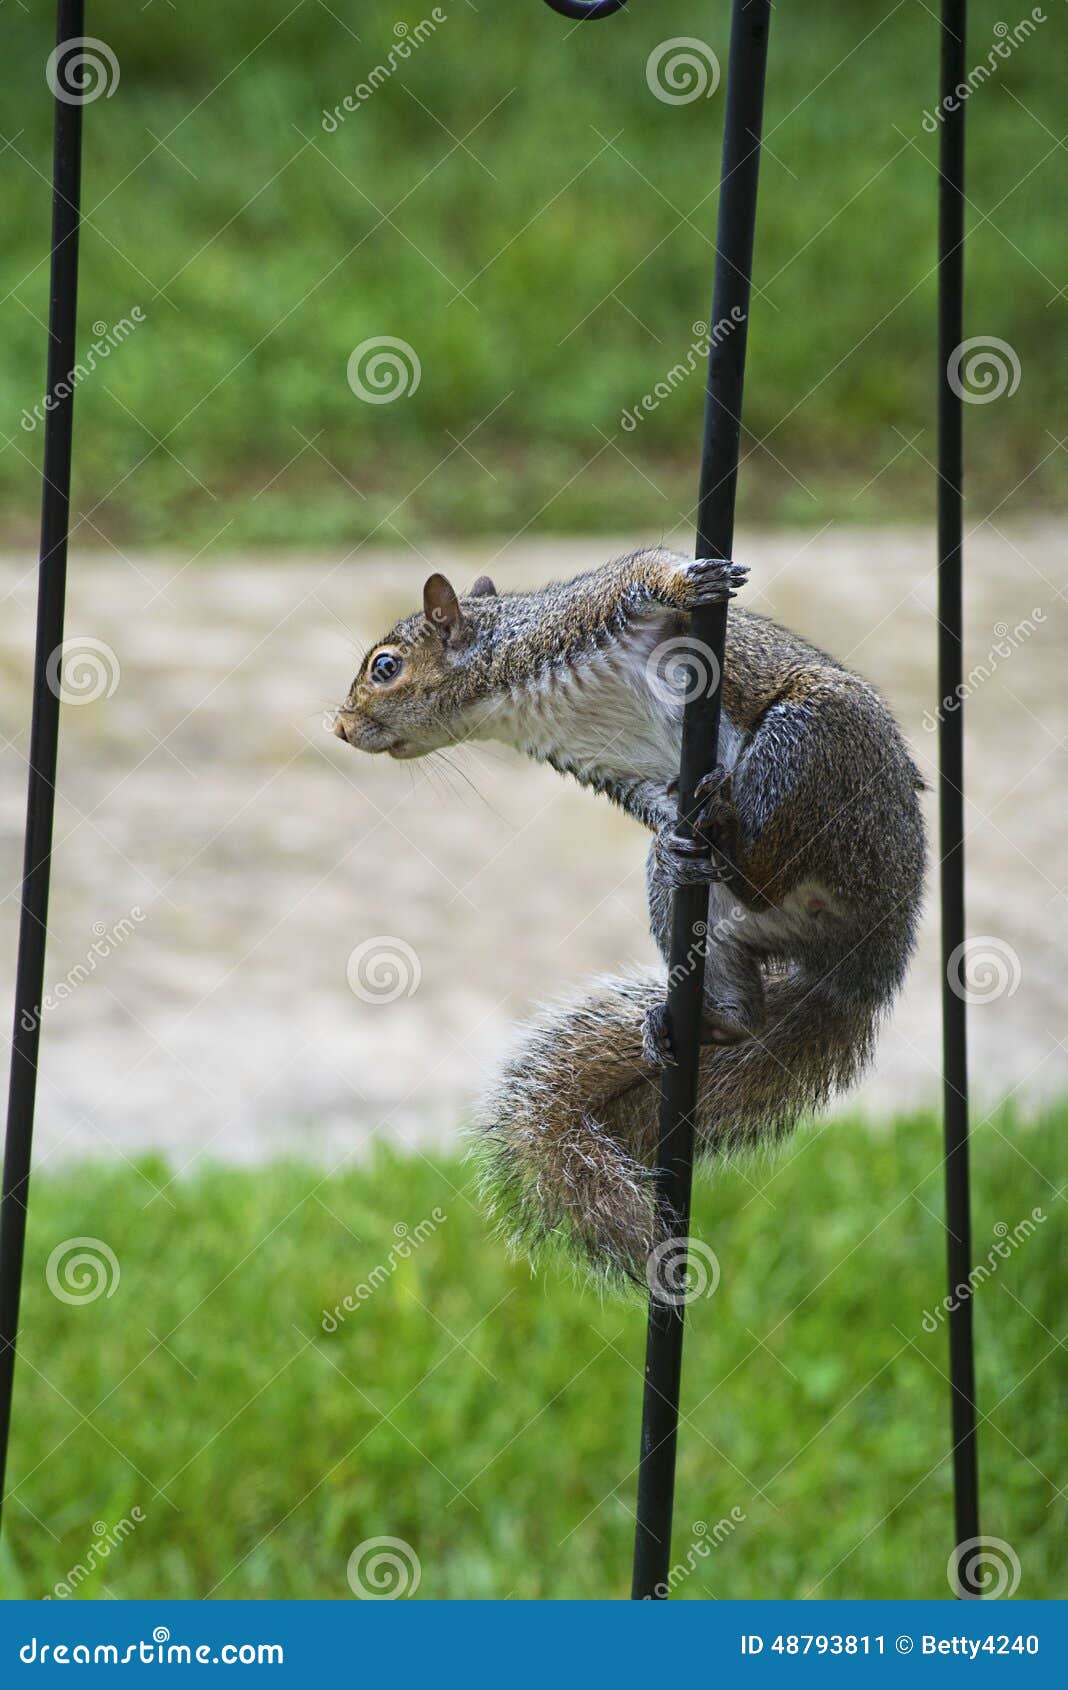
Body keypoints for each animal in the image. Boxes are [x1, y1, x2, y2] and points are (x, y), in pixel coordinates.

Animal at [333, 548, 927, 1286]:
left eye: (385, 667)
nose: (339, 726)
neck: (506, 697)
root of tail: (867, 958)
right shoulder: (607, 766)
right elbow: (656, 800)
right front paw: (674, 829)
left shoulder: (584, 614)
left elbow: (642, 569)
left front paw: (691, 582)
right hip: (722, 916)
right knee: (740, 946)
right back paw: (704, 979)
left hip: (817, 749)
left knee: (772, 862)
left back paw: (729, 827)